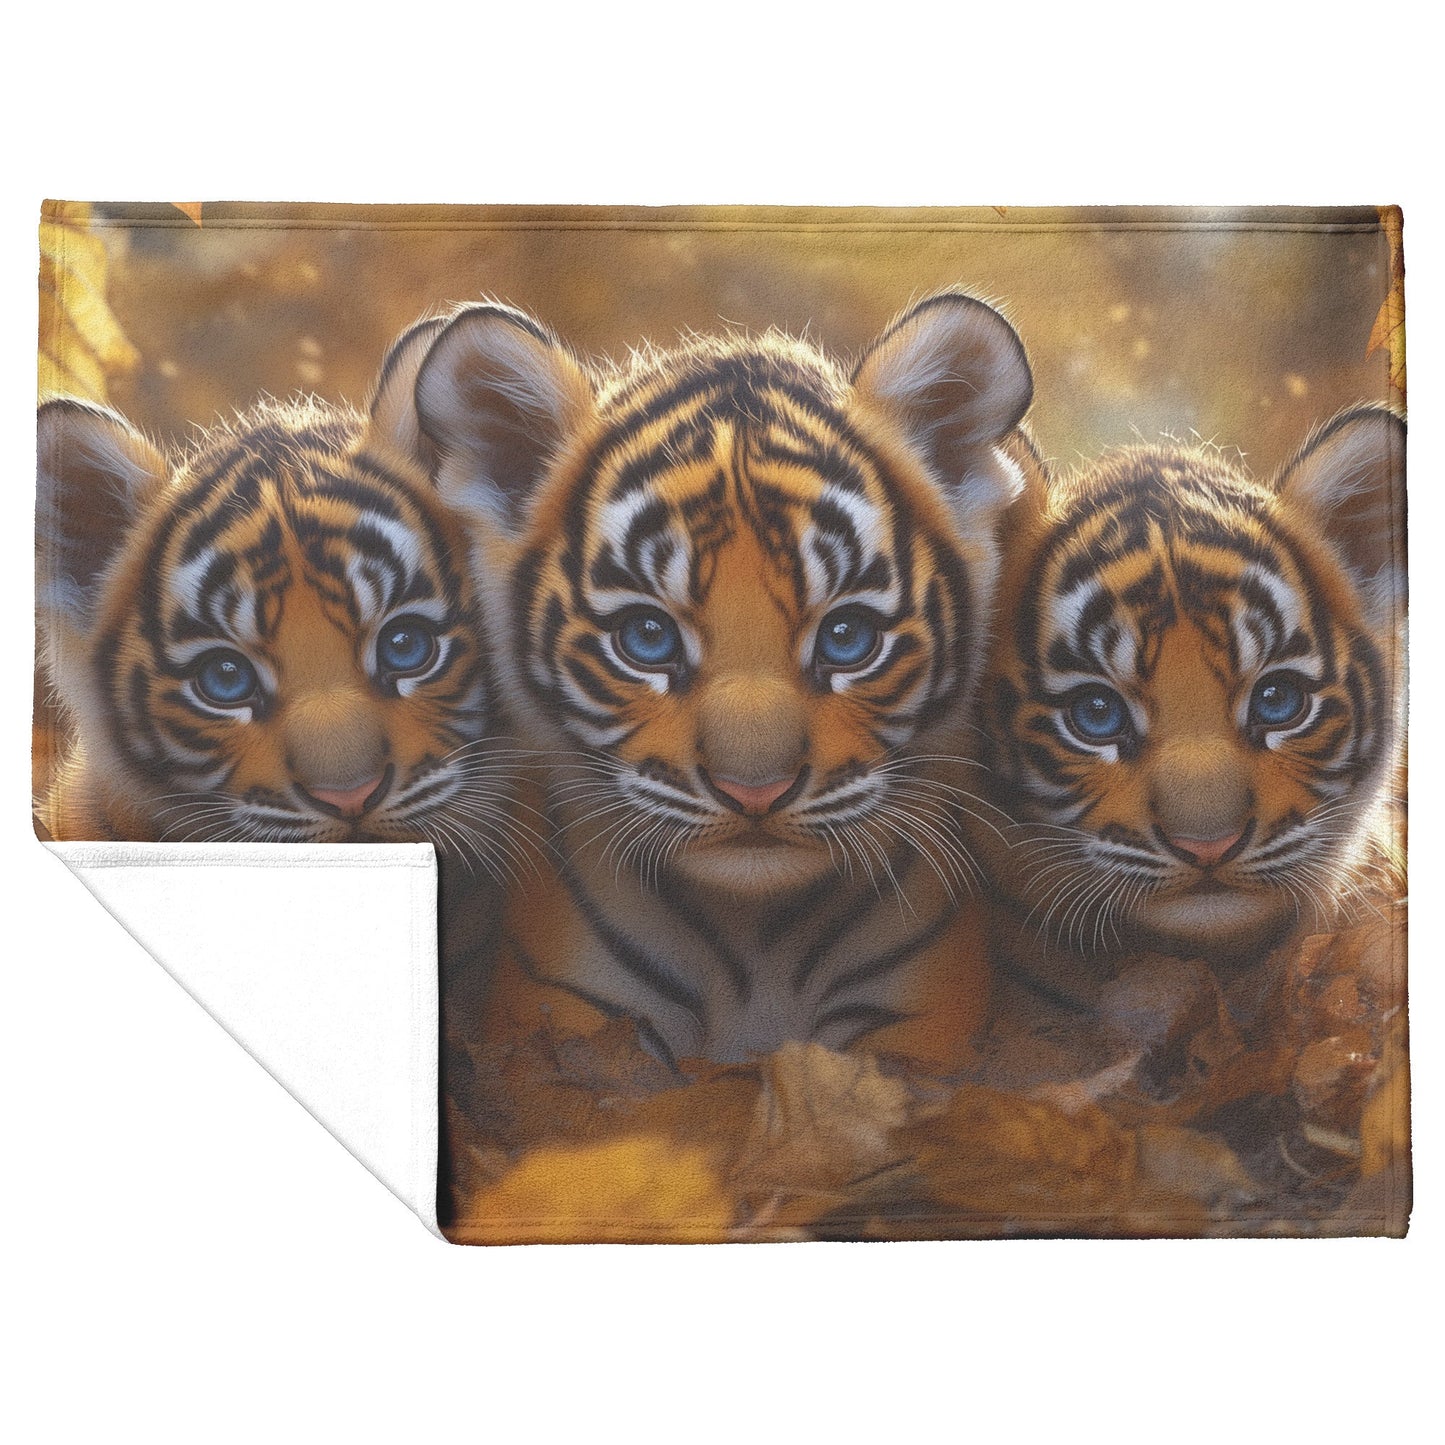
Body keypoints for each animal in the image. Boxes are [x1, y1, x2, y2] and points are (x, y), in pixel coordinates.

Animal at [374, 290, 1043, 1070]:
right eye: (647, 637)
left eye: (847, 637)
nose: (754, 791)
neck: (750, 935)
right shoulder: (574, 1013)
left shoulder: (921, 1019)